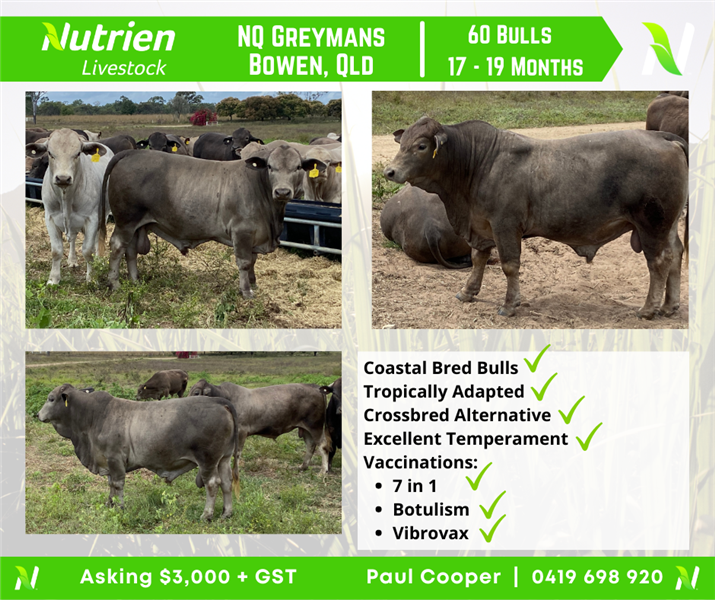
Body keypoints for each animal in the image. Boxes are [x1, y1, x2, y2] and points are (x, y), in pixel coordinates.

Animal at [26, 128, 113, 284]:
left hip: (104, 214)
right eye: (50, 153)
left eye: (78, 153)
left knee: (98, 239)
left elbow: (87, 250)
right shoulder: (50, 218)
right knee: (73, 238)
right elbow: (56, 251)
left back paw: (99, 260)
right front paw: (53, 279)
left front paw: (91, 278)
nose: (63, 178)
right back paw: (72, 260)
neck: (66, 198)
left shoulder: (92, 219)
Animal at [38, 385, 241, 520]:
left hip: (208, 460)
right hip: (224, 458)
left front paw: (119, 507)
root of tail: (220, 402)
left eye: (51, 398)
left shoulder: (115, 459)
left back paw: (207, 515)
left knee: (212, 484)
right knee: (226, 483)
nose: (38, 415)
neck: (93, 417)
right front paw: (109, 504)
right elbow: (110, 485)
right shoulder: (108, 462)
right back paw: (226, 513)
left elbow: (117, 485)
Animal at [101, 145, 327, 297]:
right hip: (126, 221)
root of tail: (132, 152)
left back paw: (134, 280)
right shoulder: (242, 231)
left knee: (130, 251)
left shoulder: (254, 234)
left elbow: (253, 261)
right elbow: (244, 262)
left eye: (298, 167)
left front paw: (253, 283)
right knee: (117, 247)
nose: (282, 191)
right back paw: (114, 284)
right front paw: (246, 292)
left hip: (136, 225)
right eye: (270, 167)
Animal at [188, 379, 331, 475]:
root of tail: (315, 387)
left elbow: (237, 453)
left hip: (315, 426)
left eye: (196, 393)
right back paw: (303, 467)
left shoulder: (241, 431)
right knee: (310, 446)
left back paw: (323, 471)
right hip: (306, 429)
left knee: (323, 446)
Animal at [384, 117, 688, 319]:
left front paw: (509, 305)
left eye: (421, 146)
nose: (390, 171)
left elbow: (509, 266)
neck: (478, 162)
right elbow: (478, 259)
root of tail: (662, 137)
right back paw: (669, 305)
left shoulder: (505, 226)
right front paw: (468, 291)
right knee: (676, 253)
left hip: (652, 225)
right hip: (669, 226)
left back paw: (649, 308)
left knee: (659, 262)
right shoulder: (481, 227)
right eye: (403, 143)